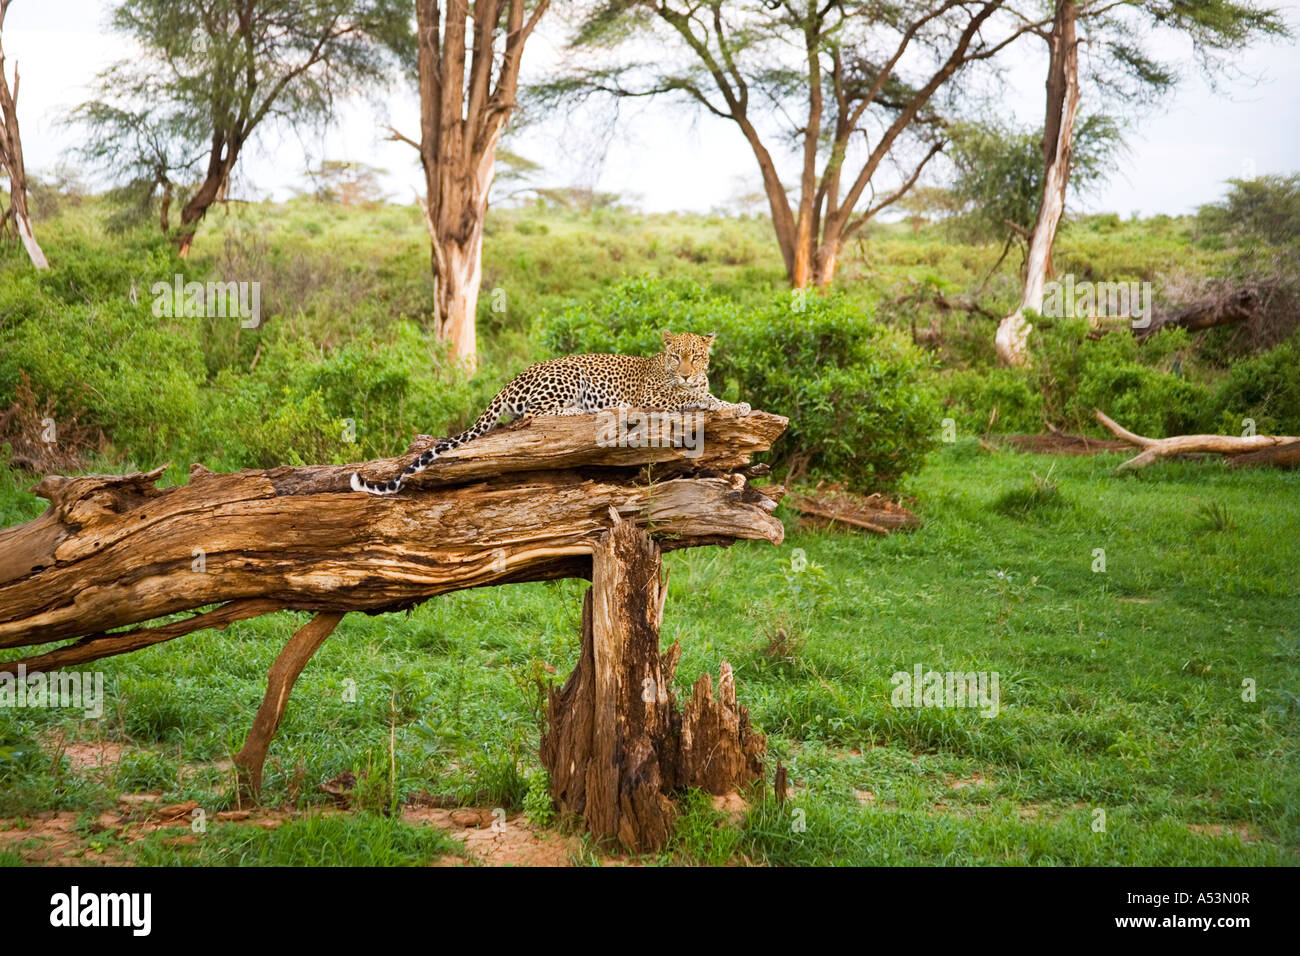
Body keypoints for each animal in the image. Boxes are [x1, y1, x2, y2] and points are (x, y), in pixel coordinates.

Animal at [350, 330, 751, 495]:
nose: (685, 373)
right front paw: (705, 400)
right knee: (537, 413)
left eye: (695, 357)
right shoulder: (652, 398)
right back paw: (591, 411)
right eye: (675, 356)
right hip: (568, 375)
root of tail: (512, 379)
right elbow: (684, 400)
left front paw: (738, 405)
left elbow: (713, 398)